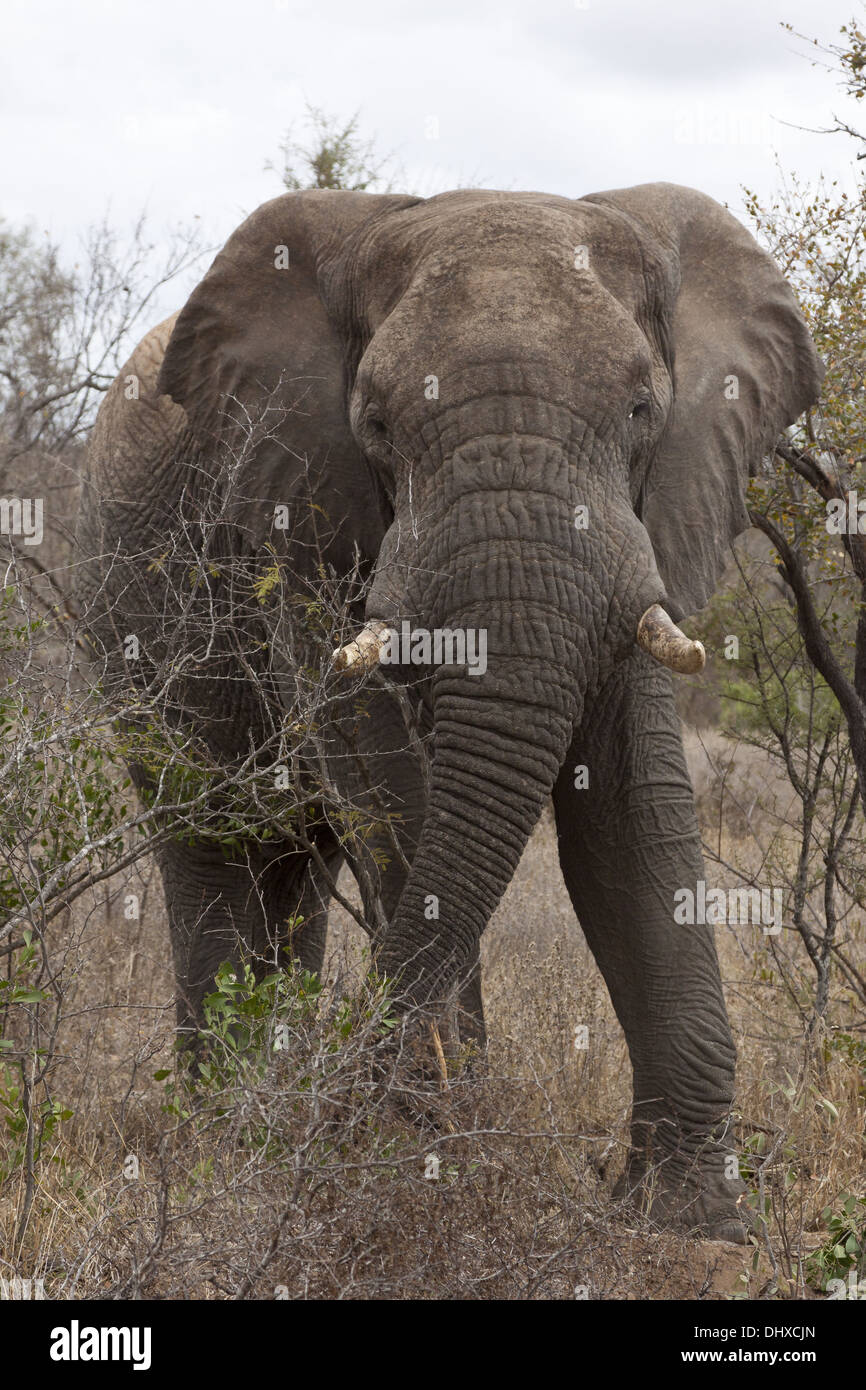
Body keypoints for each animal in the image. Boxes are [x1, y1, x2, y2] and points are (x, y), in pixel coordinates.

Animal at [77, 182, 822, 1242]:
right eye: (377, 423)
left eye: (642, 410)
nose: (349, 1110)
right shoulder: (296, 512)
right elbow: (389, 779)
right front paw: (432, 1169)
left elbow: (629, 813)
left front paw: (687, 1225)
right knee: (216, 844)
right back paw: (227, 1132)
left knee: (294, 863)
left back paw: (270, 1105)